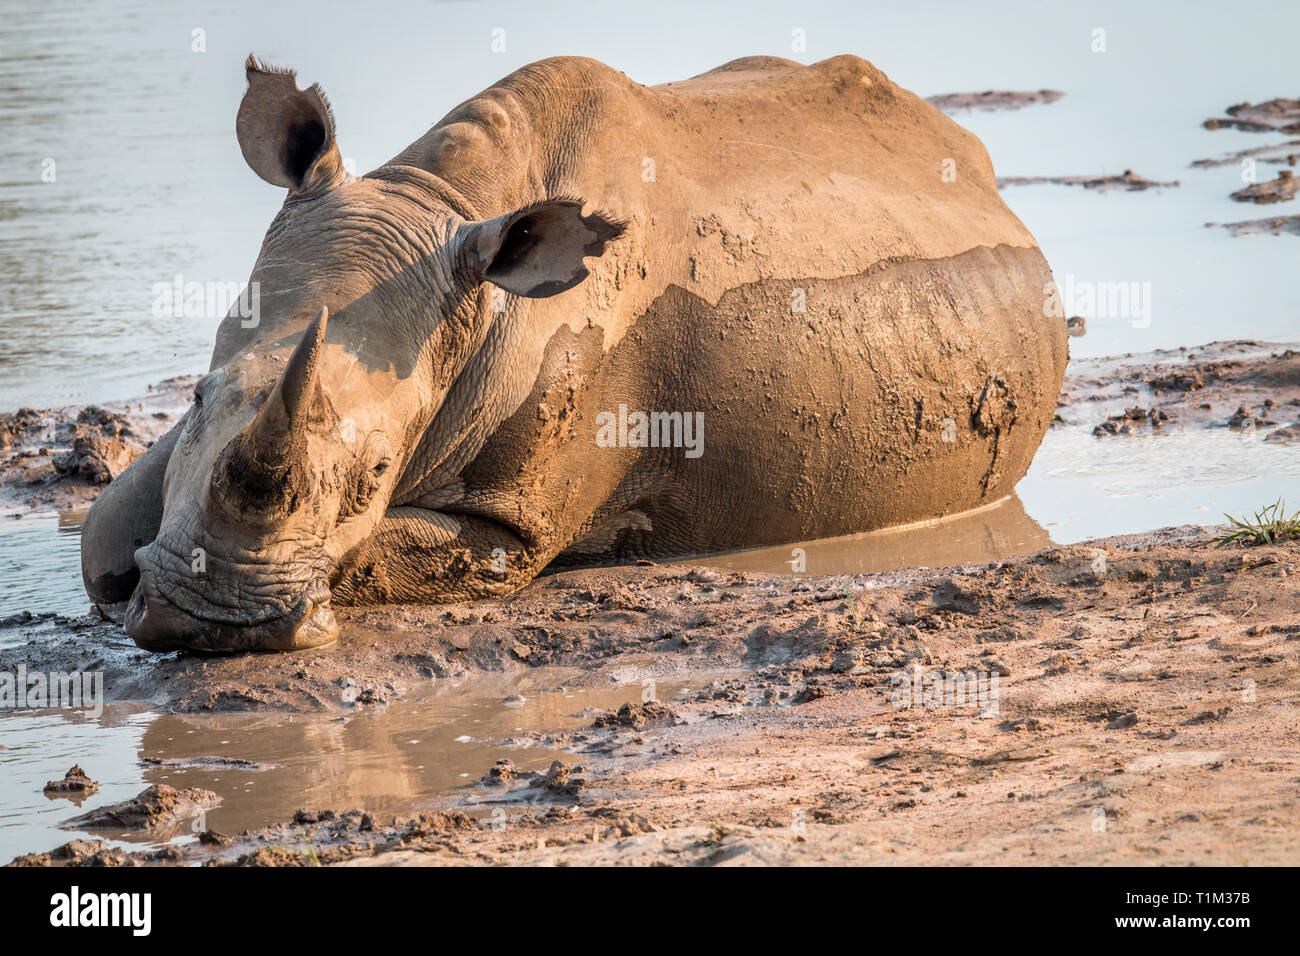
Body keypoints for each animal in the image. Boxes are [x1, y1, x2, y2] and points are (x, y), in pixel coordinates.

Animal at [81, 53, 1066, 653]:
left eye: (379, 474)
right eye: (197, 396)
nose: (212, 624)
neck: (440, 198)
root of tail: (974, 163)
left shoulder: (517, 521)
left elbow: (389, 553)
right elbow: (102, 529)